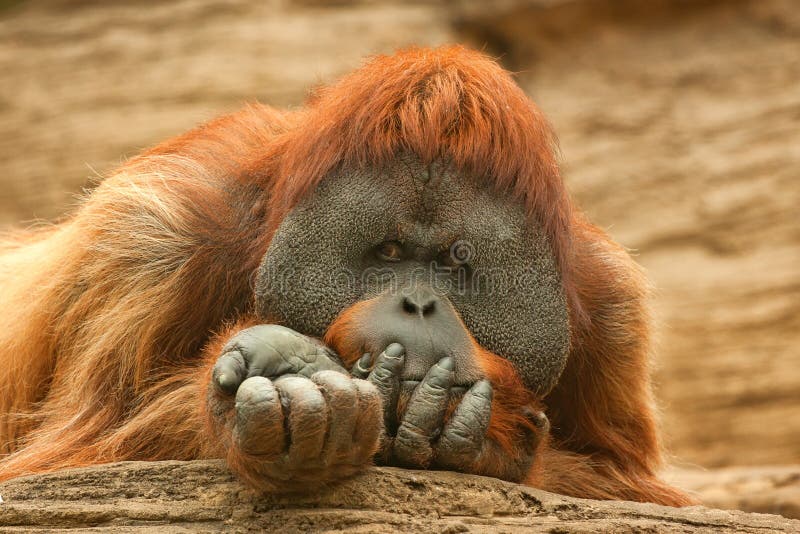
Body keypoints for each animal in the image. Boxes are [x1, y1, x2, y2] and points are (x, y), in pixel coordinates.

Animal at [0, 45, 692, 506]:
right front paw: (299, 404)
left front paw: (487, 434)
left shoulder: (613, 301)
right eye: (387, 252)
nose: (418, 302)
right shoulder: (151, 238)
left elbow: (621, 482)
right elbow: (75, 459)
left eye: (453, 261)